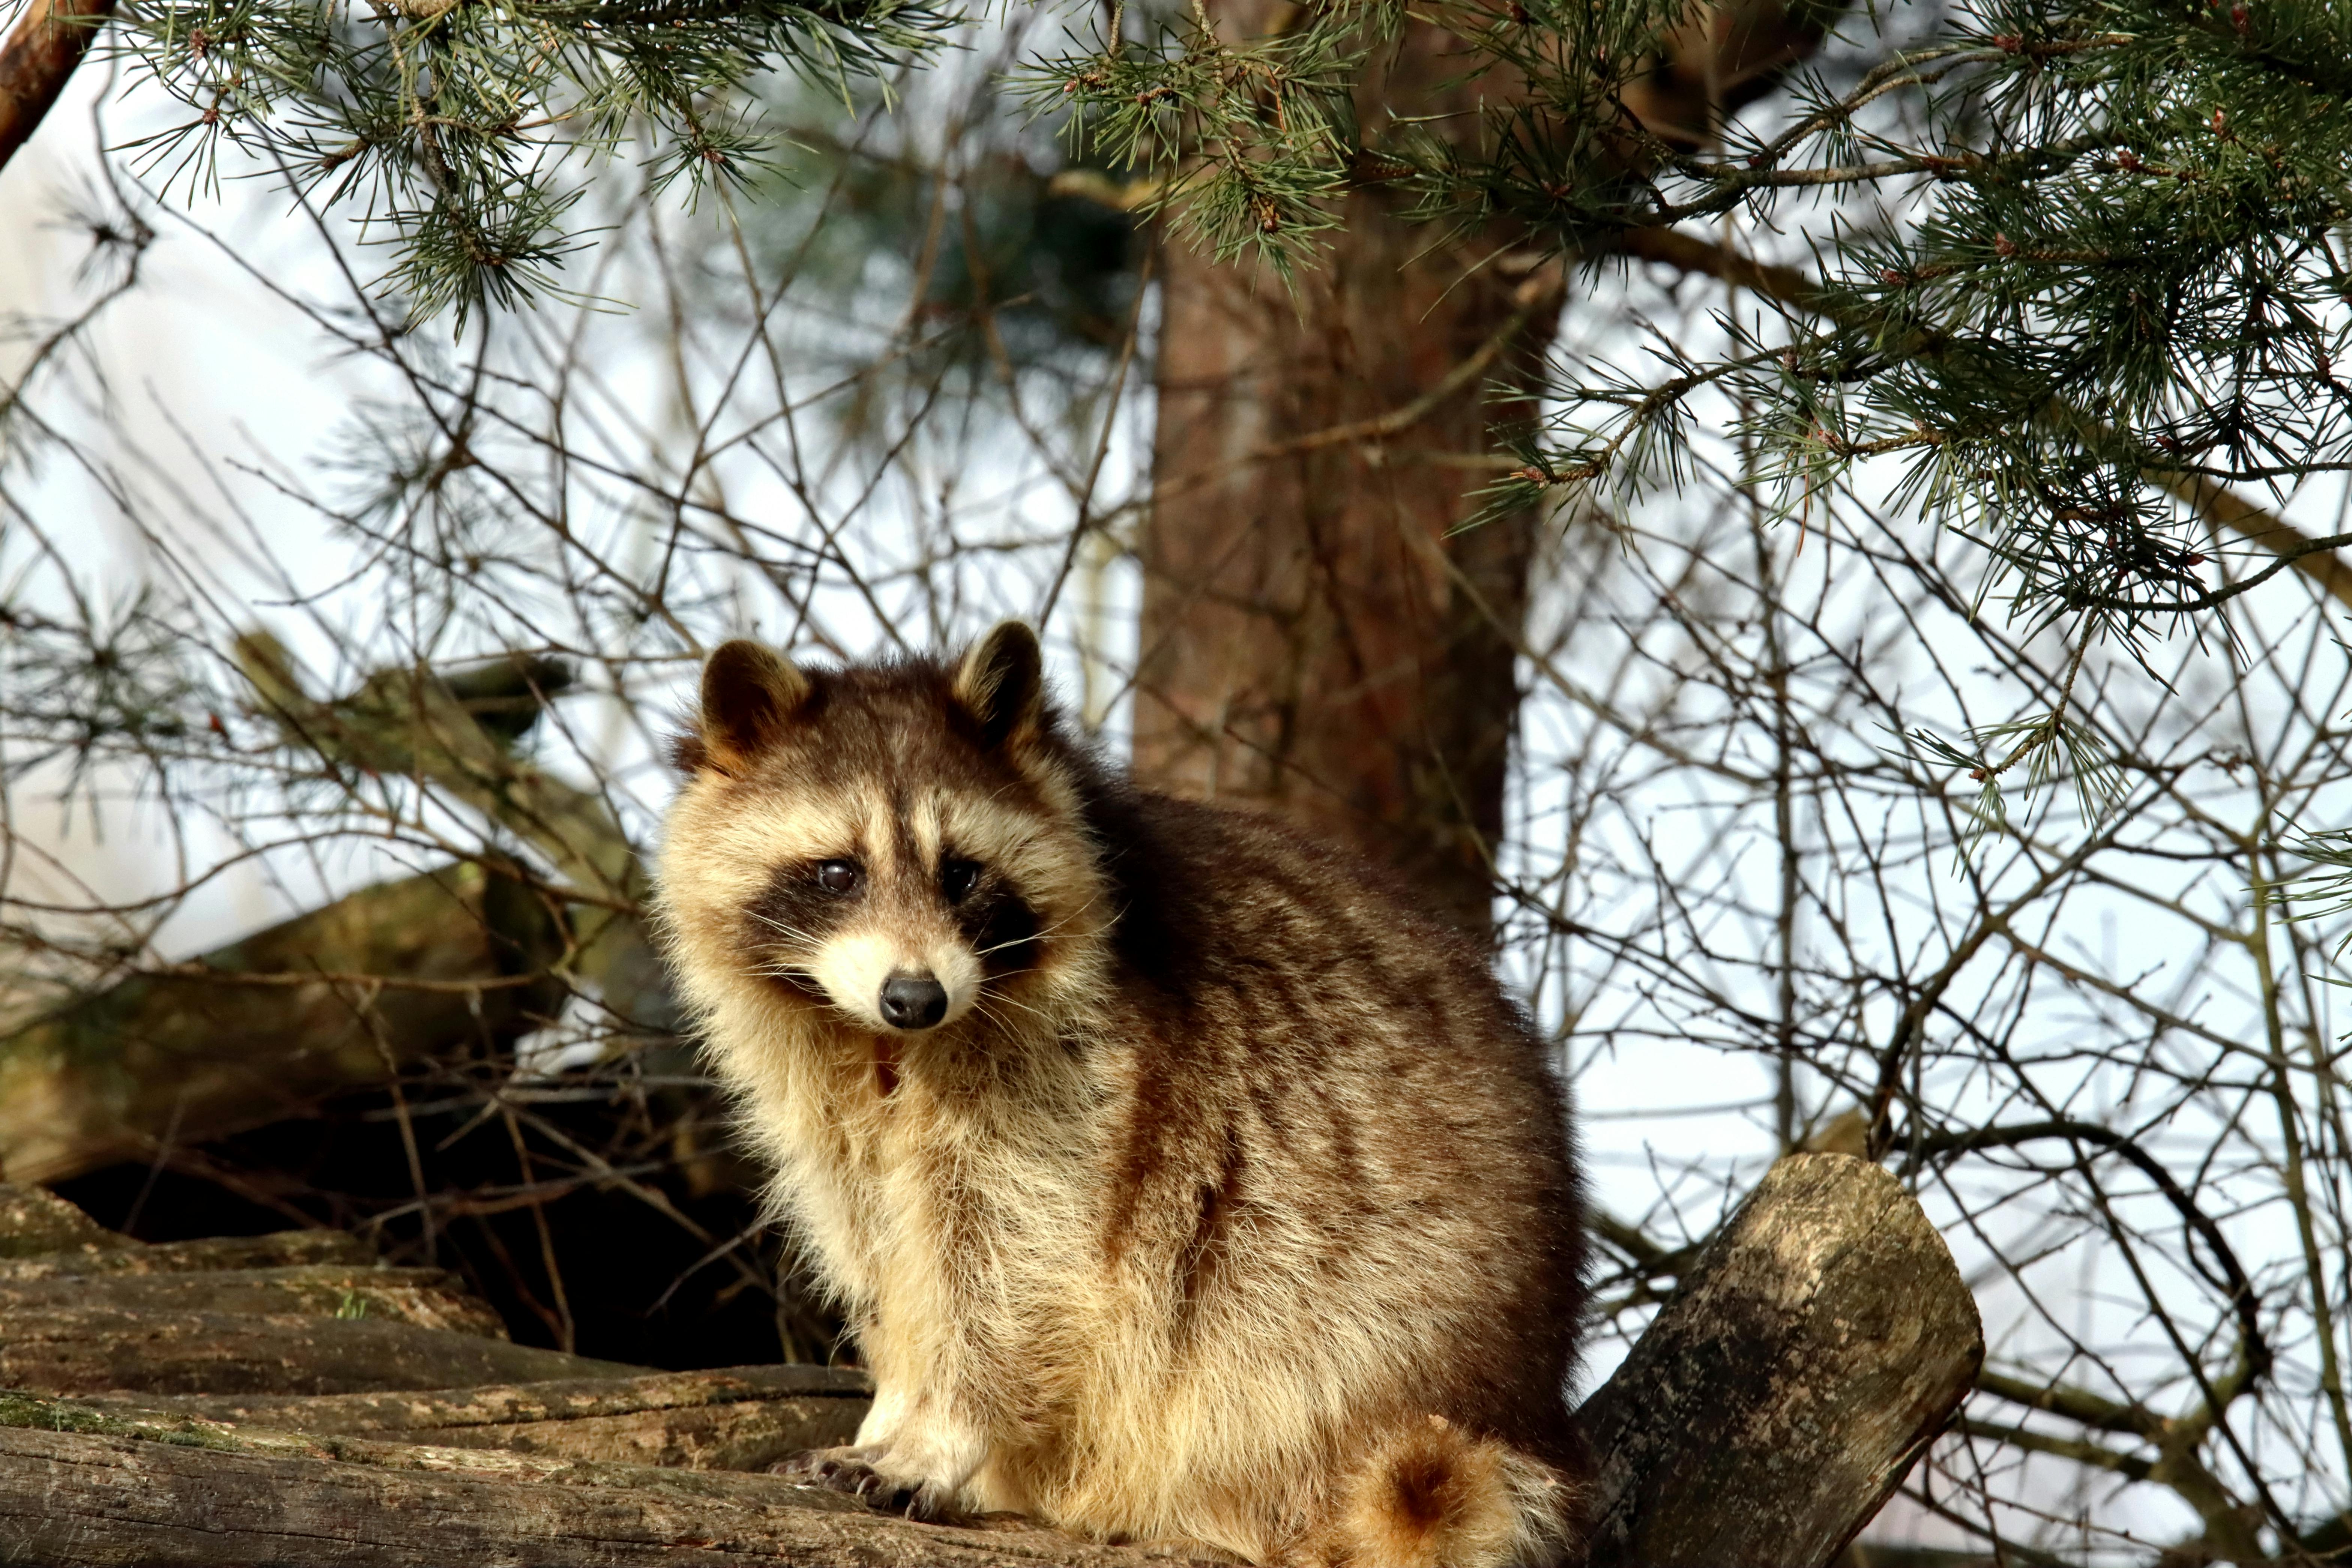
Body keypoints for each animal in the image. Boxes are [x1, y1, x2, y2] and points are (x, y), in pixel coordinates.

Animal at [654, 622, 1590, 1568]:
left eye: (961, 875)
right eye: (837, 873)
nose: (916, 996)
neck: (881, 1043)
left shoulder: (1082, 1076)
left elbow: (1008, 1263)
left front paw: (941, 1429)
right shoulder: (825, 1100)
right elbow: (880, 1248)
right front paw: (893, 1402)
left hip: (1357, 1358)